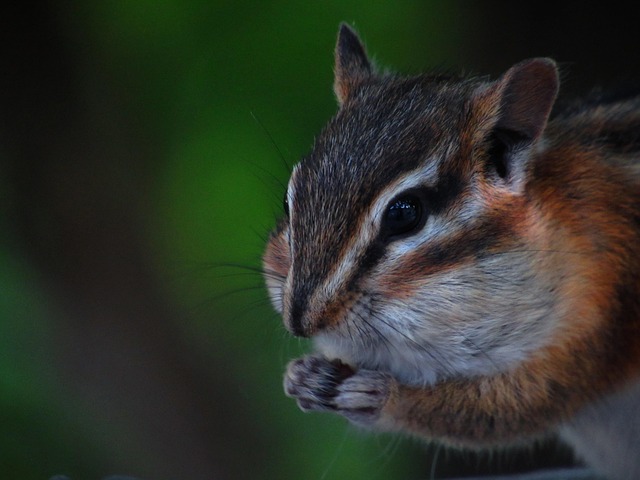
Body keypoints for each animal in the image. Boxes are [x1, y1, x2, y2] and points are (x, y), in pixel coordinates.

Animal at [262, 23, 640, 479]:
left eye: (404, 213)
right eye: (289, 202)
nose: (300, 321)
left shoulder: (601, 303)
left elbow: (517, 406)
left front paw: (384, 396)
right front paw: (303, 376)